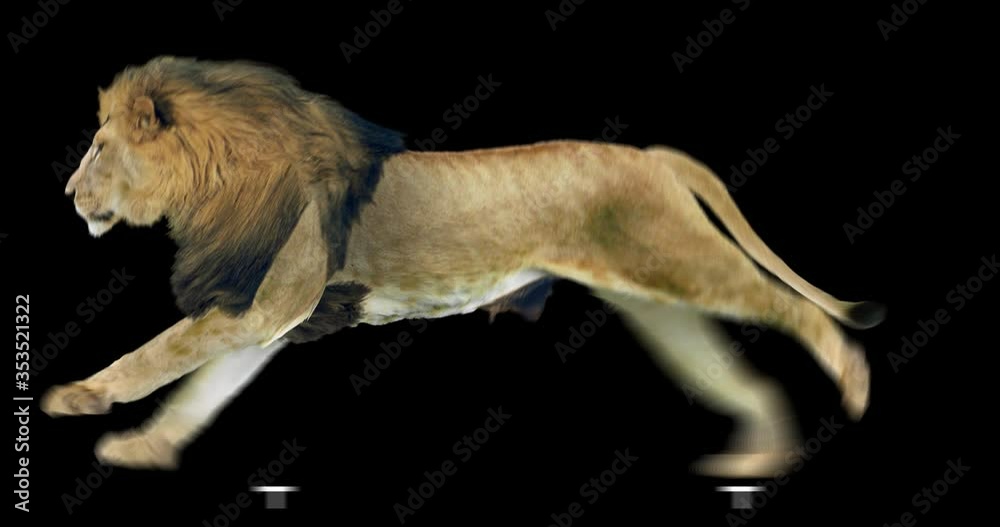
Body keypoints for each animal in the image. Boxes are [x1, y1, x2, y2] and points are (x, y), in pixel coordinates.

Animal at [43, 56, 883, 478]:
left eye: (98, 147)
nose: (67, 193)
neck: (217, 179)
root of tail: (650, 156)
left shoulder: (262, 302)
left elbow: (155, 353)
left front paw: (79, 394)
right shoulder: (270, 314)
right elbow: (201, 389)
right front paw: (148, 448)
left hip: (678, 259)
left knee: (792, 307)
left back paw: (853, 378)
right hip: (658, 304)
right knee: (731, 372)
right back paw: (763, 454)